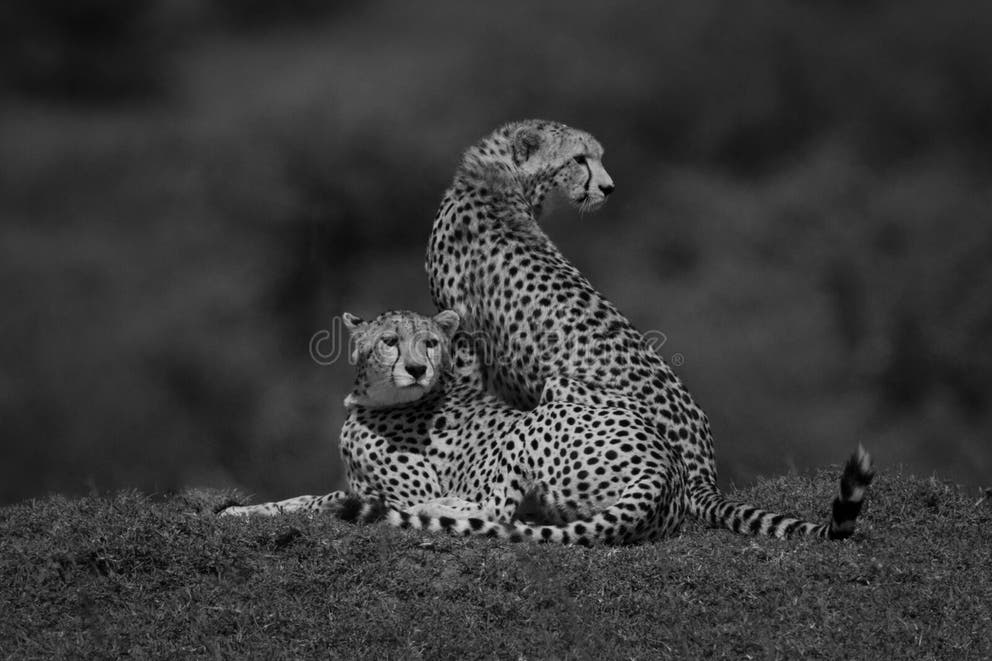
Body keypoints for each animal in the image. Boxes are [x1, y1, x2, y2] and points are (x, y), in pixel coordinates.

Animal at [221, 309, 873, 544]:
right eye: (390, 341)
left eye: (430, 342)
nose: (417, 366)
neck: (374, 402)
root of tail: (667, 469)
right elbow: (301, 497)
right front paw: (239, 511)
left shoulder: (396, 484)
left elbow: (327, 499)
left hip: (543, 410)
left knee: (495, 509)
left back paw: (442, 508)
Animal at [425, 119, 874, 538]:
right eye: (579, 159)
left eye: (596, 157)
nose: (609, 188)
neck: (499, 178)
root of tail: (700, 466)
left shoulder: (466, 337)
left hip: (561, 392)